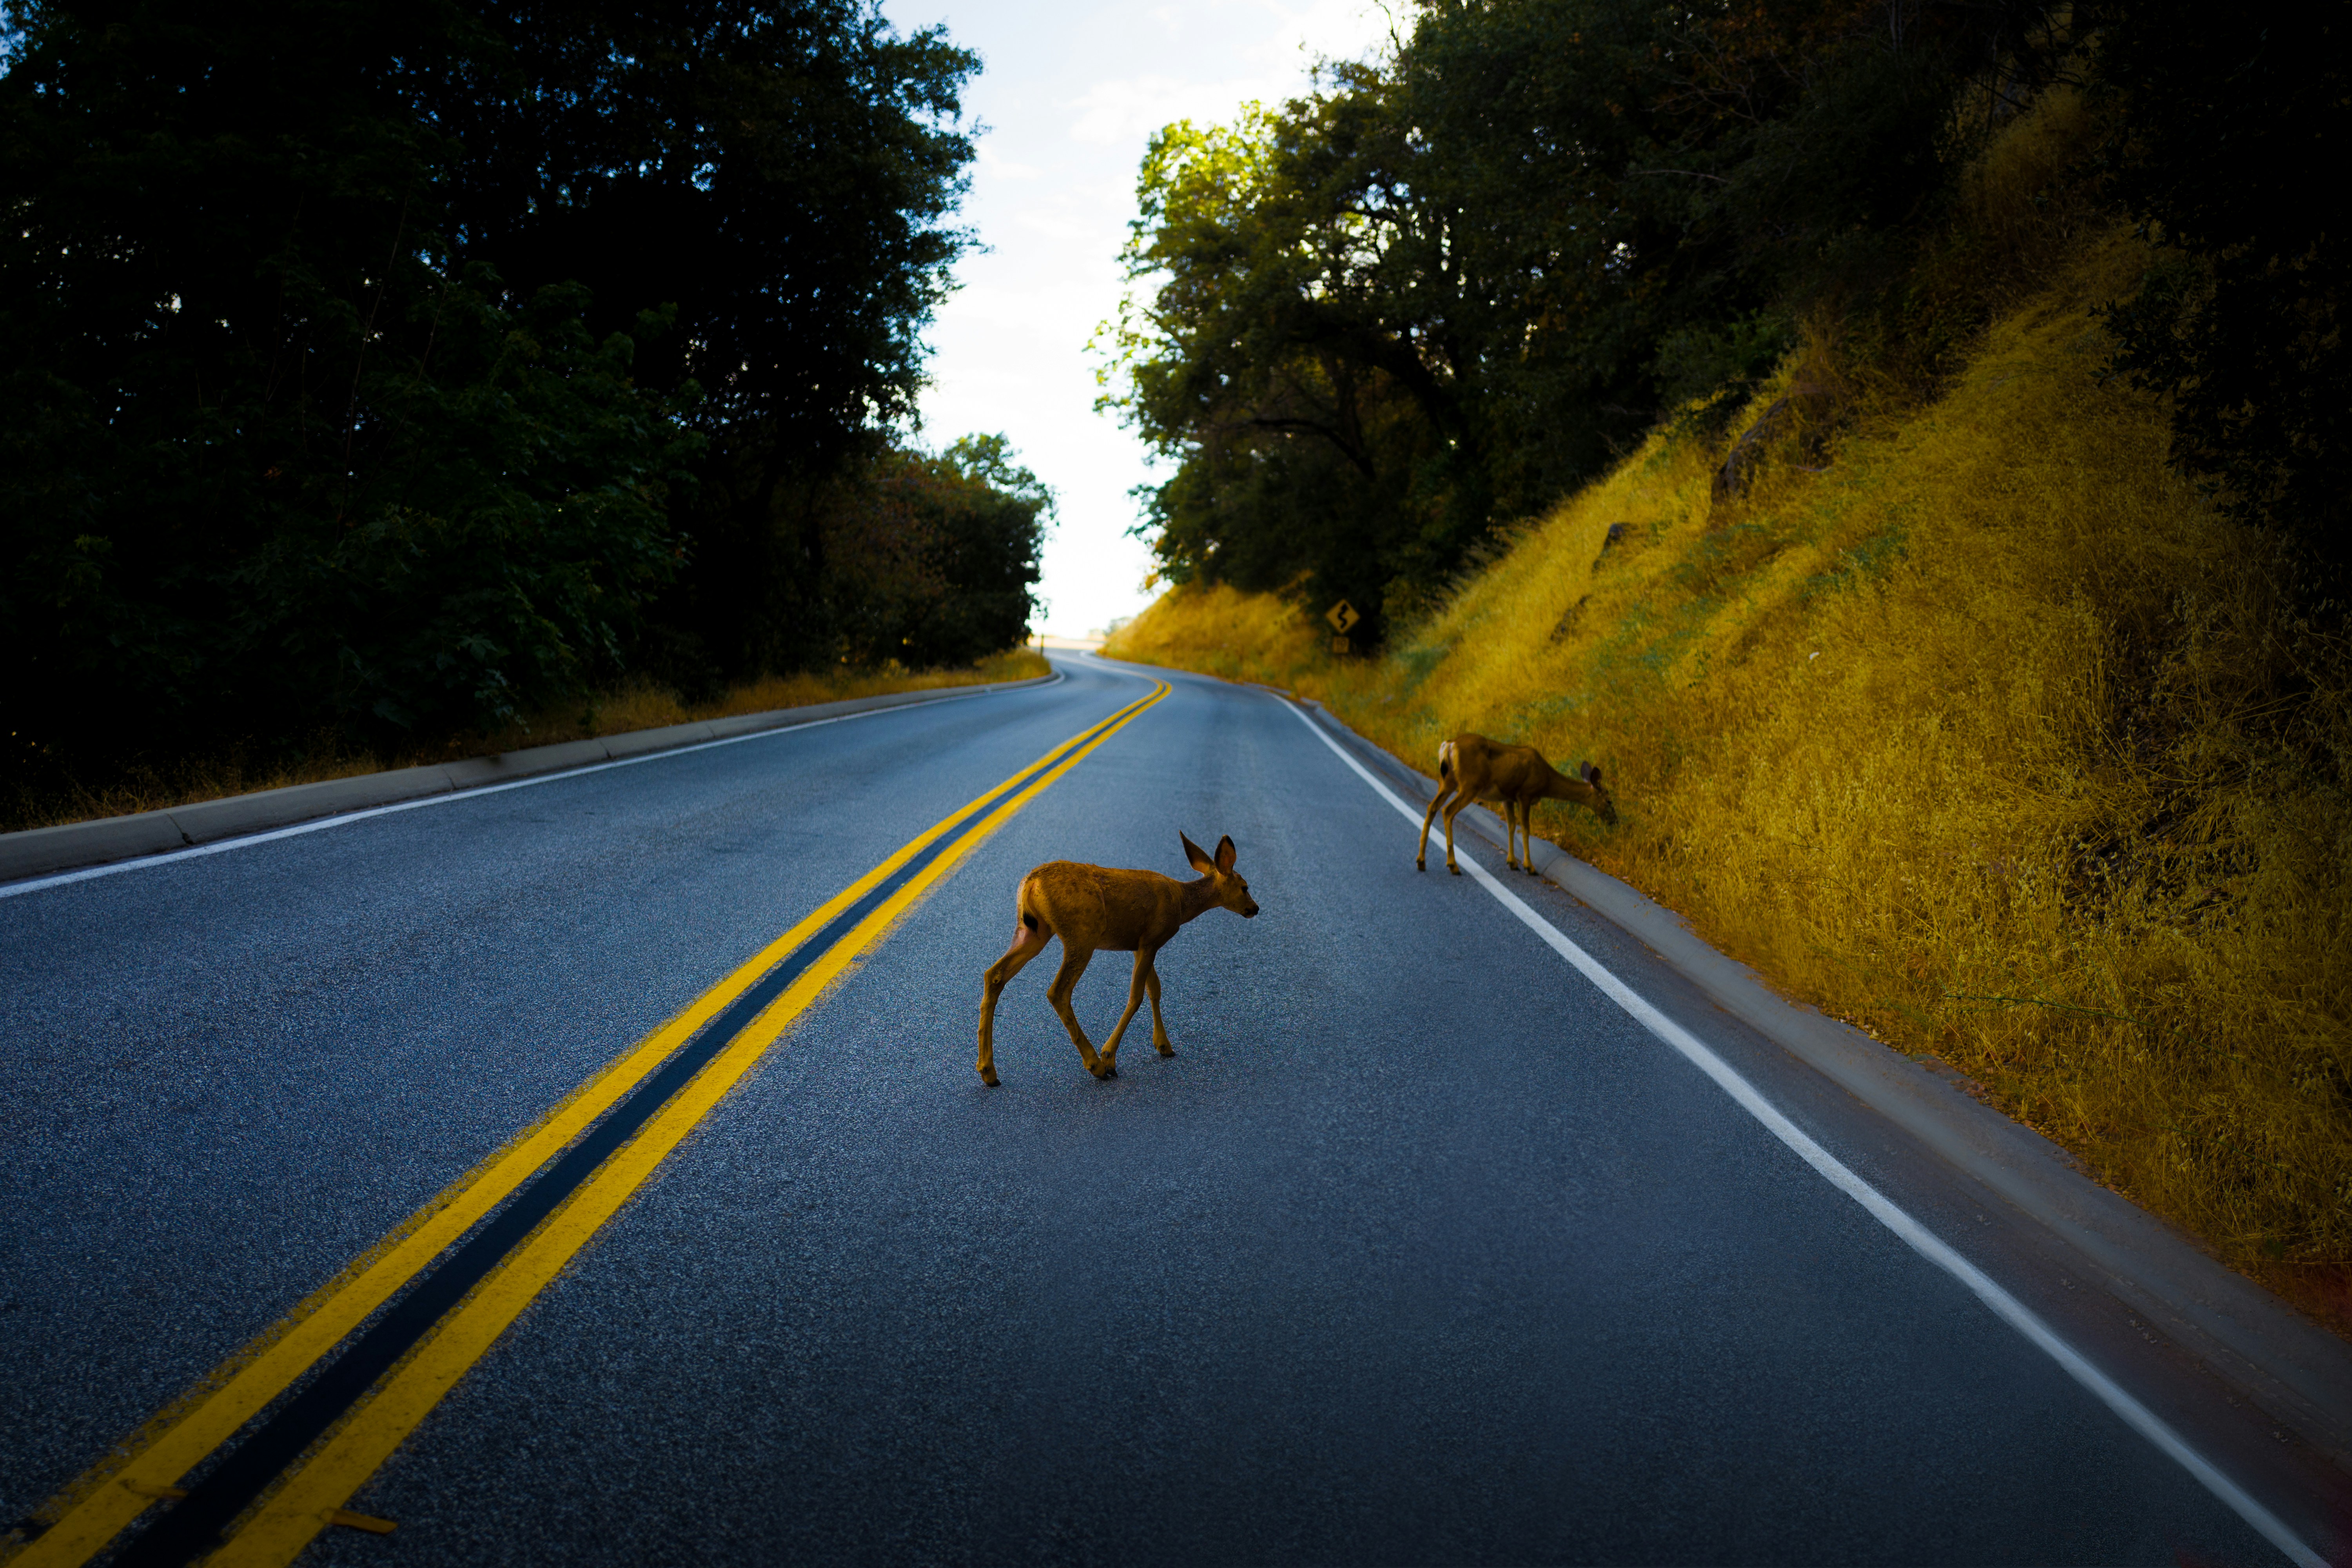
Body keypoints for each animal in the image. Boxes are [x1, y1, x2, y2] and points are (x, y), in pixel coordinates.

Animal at [976, 832, 1259, 1086]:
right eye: (1245, 887)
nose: (1255, 909)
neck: (1181, 903)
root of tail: (1031, 883)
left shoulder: (1140, 944)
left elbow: (1155, 989)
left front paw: (1164, 1046)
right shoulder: (1152, 939)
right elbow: (1137, 996)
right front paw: (1110, 1057)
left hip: (1033, 932)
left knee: (994, 974)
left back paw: (989, 1072)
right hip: (1081, 935)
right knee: (1058, 991)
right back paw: (1096, 1066)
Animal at [1416, 734, 1617, 877]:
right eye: (1609, 801)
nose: (1615, 821)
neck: (1547, 780)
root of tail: (1449, 745)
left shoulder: (1508, 798)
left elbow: (1511, 826)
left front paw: (1512, 863)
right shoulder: (1525, 794)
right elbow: (1526, 829)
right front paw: (1530, 867)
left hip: (1448, 781)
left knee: (1432, 807)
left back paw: (1421, 862)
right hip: (1470, 784)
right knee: (1448, 811)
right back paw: (1453, 866)